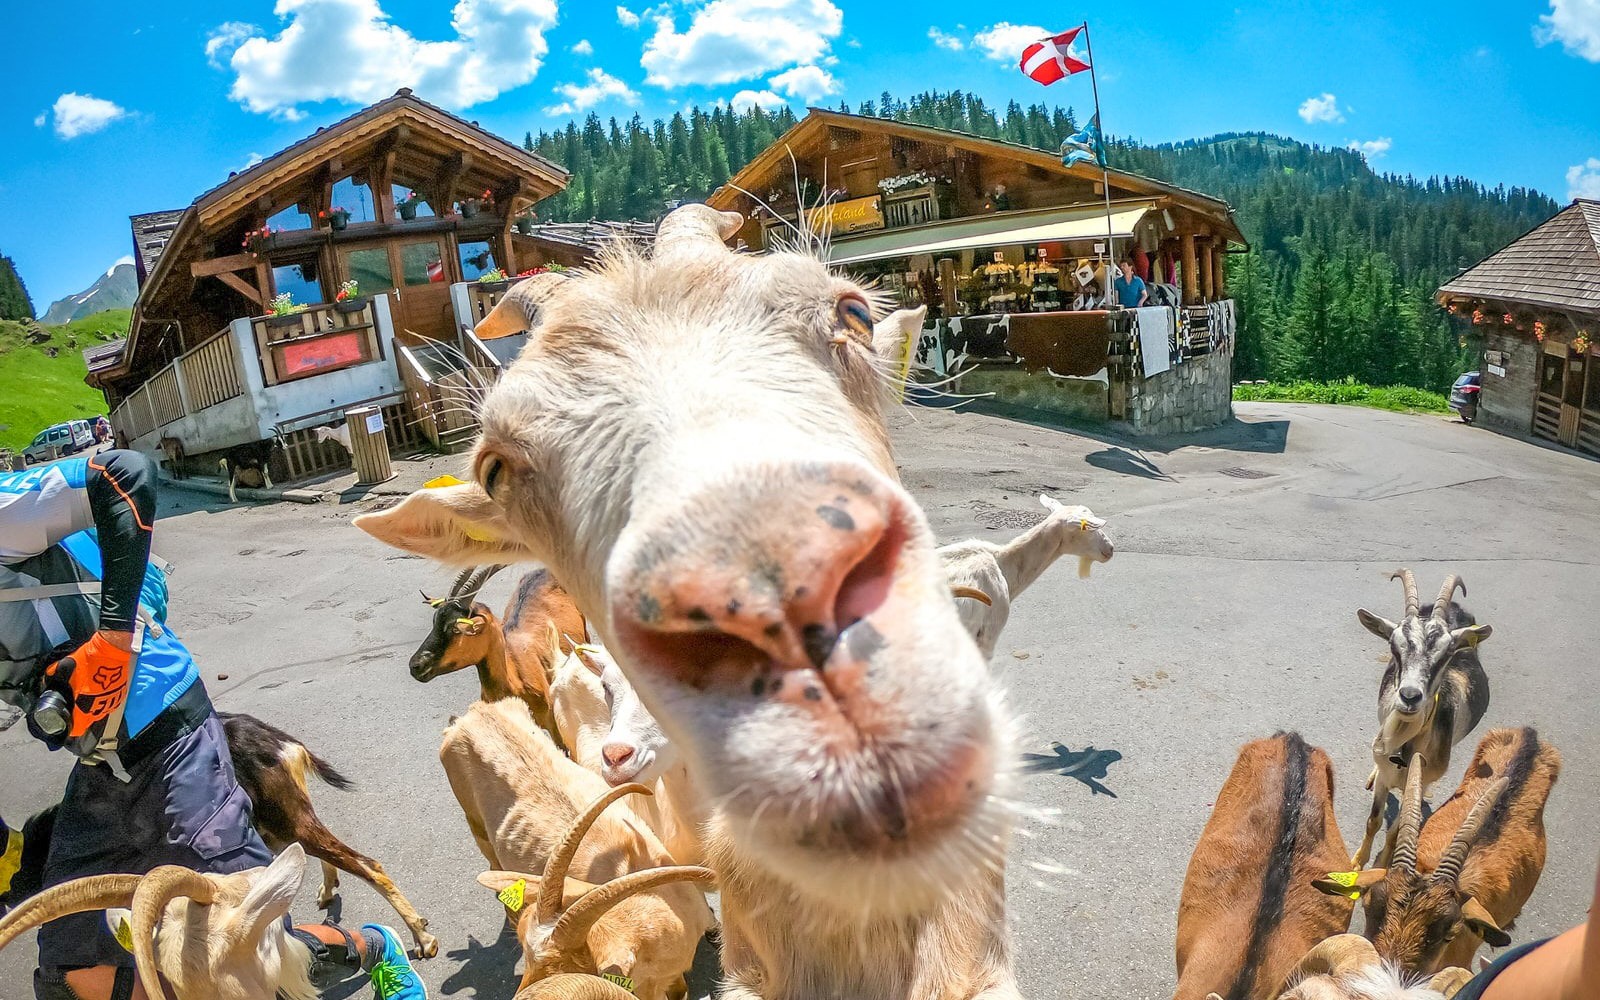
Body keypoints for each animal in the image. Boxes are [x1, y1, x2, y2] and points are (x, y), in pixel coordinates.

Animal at [1351, 571, 1491, 868]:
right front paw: (1356, 863)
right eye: (1394, 646)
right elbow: (1373, 820)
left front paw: (1380, 866)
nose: (1409, 696)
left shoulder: (1420, 782)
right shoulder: (1385, 771)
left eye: (1447, 653)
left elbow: (1397, 831)